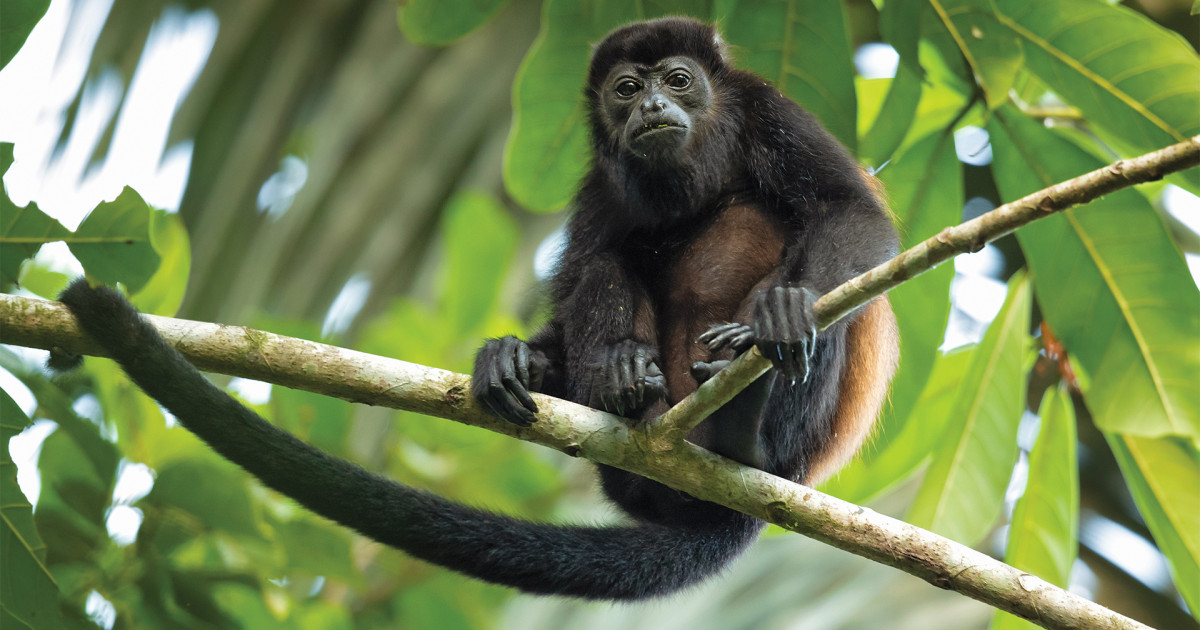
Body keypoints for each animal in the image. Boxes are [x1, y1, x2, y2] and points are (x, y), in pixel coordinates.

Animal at [54, 17, 899, 601]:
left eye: (679, 79)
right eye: (627, 89)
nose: (654, 102)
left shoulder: (768, 109)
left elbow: (852, 213)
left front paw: (785, 309)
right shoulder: (599, 176)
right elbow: (586, 266)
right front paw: (526, 356)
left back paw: (745, 420)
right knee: (610, 263)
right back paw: (616, 380)